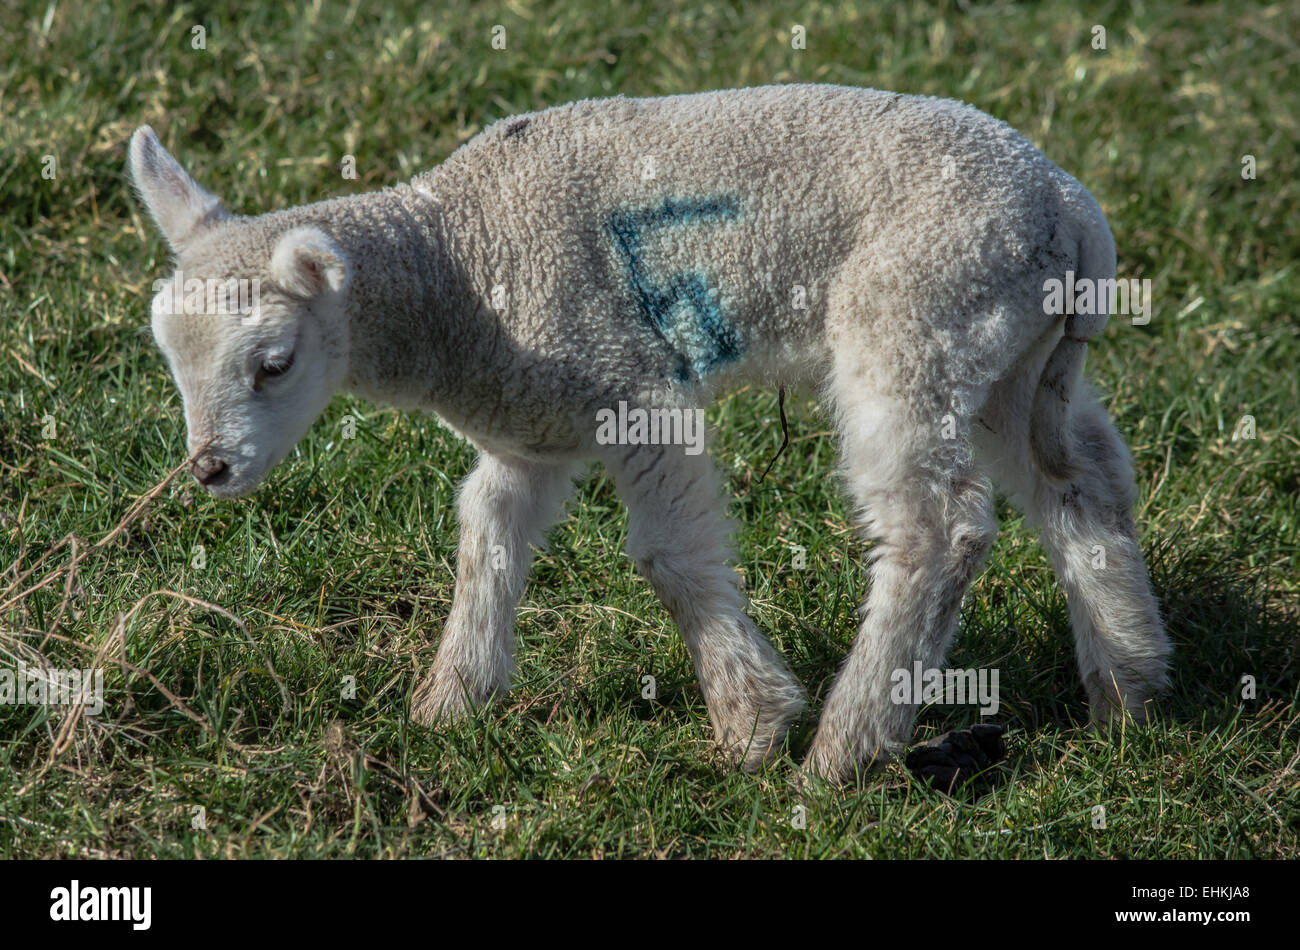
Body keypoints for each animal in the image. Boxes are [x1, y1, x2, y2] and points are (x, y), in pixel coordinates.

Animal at [129, 83, 1171, 784]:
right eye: (168, 359)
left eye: (273, 364)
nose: (209, 468)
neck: (457, 262)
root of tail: (1077, 215)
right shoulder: (531, 425)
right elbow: (486, 533)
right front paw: (451, 703)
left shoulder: (634, 383)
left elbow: (667, 556)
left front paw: (750, 723)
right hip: (1008, 351)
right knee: (1083, 480)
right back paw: (1130, 688)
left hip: (916, 314)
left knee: (939, 528)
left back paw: (843, 754)